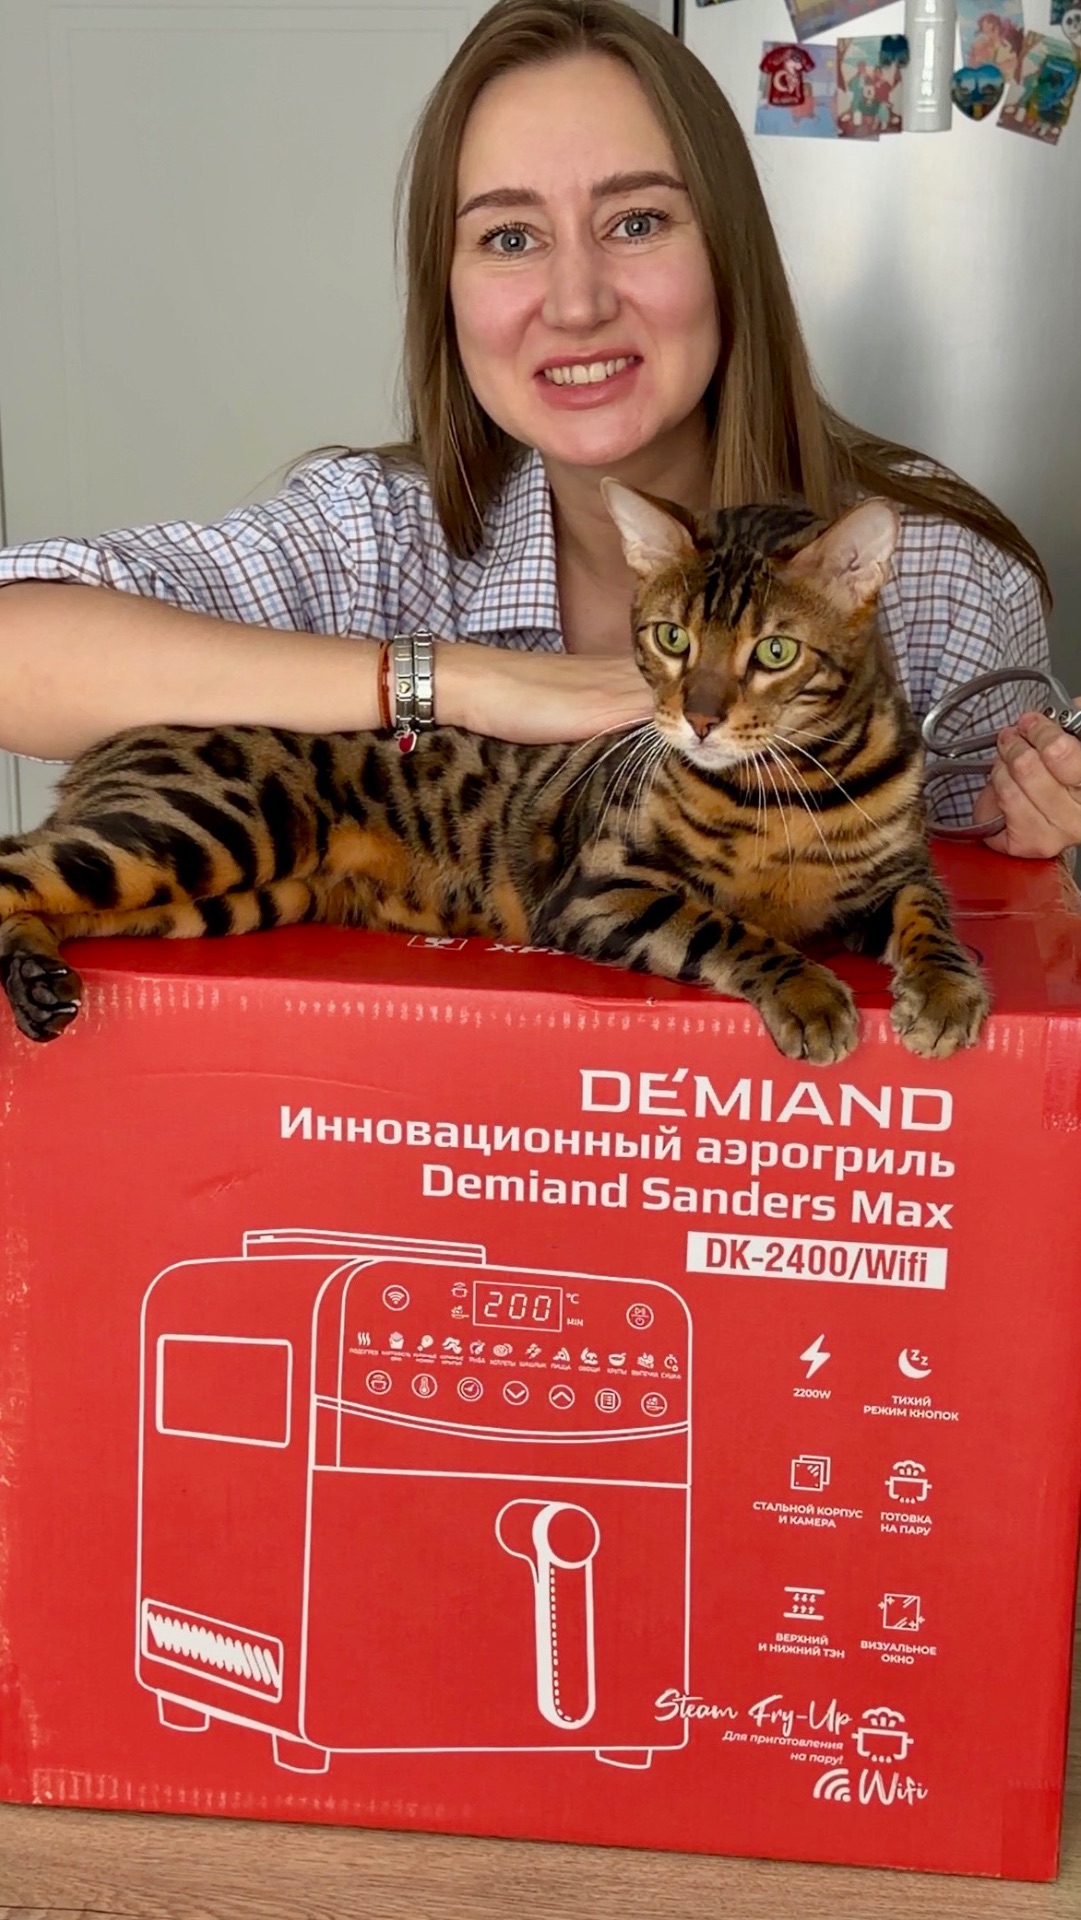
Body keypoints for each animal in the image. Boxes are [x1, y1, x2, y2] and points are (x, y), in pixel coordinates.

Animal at [0, 479, 988, 1063]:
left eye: (774, 652)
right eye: (671, 639)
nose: (699, 718)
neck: (787, 787)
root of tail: (106, 745)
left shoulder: (893, 874)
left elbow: (930, 915)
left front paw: (944, 994)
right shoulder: (602, 888)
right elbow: (728, 927)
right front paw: (810, 994)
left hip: (221, 897)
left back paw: (37, 979)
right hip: (205, 828)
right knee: (17, 860)